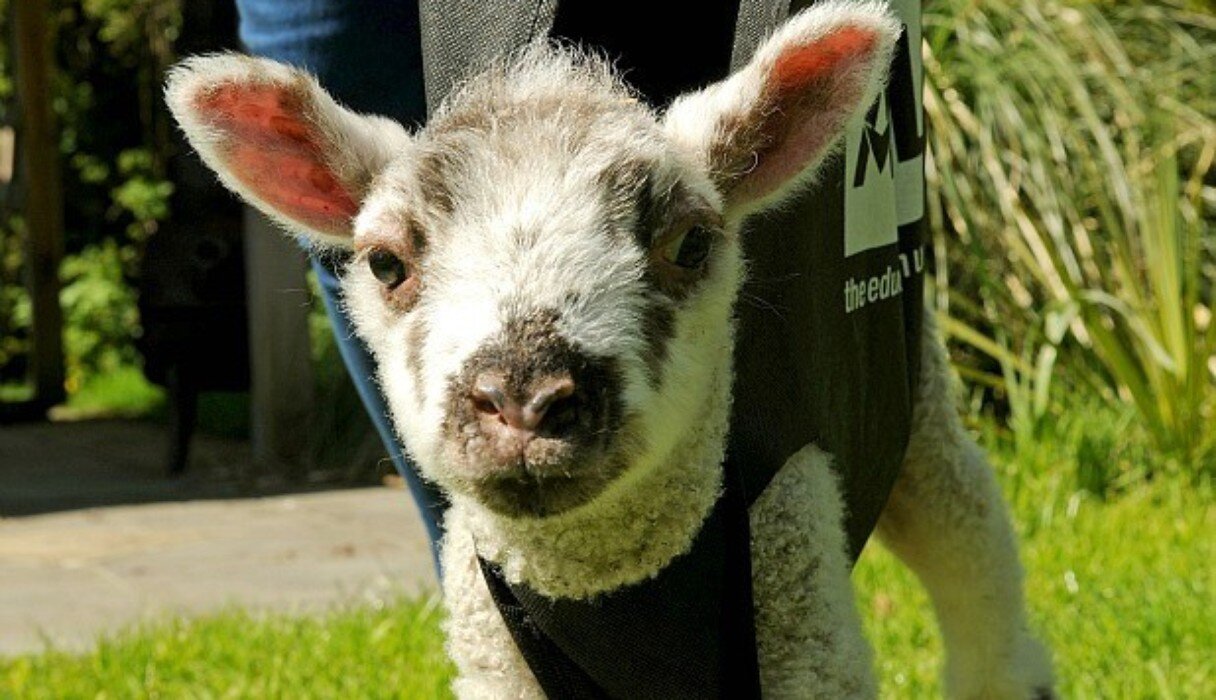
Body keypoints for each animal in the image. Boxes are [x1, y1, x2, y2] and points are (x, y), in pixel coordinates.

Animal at [166, 1, 1055, 696]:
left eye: (691, 244)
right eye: (386, 263)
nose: (524, 400)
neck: (609, 581)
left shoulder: (800, 605)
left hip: (918, 406)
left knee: (975, 553)